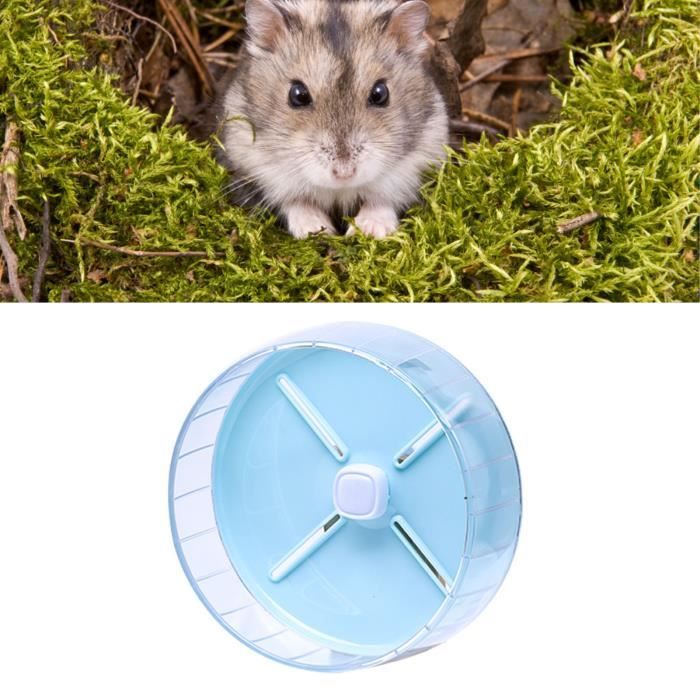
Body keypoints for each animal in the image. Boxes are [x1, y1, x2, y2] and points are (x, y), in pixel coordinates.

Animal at [216, 0, 449, 239]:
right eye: (298, 95)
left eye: (380, 93)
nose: (344, 173)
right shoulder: (254, 164)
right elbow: (295, 201)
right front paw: (317, 230)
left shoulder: (416, 162)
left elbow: (382, 200)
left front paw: (369, 230)